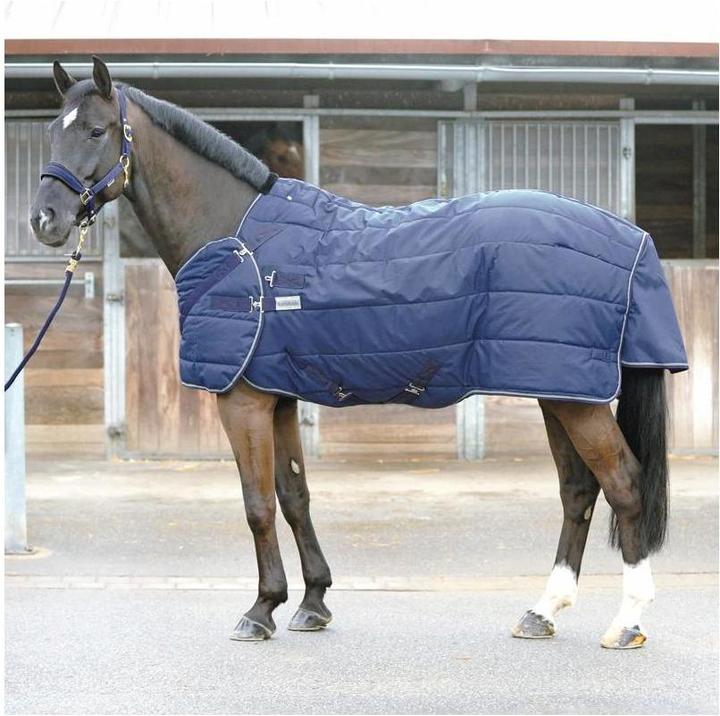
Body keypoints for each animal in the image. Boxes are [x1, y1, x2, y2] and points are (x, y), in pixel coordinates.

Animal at [29, 56, 686, 649]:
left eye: (96, 130)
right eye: (51, 129)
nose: (45, 220)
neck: (238, 239)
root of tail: (631, 238)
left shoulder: (242, 401)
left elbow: (257, 504)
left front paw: (260, 610)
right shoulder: (279, 397)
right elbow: (294, 496)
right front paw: (312, 602)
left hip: (577, 399)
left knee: (624, 484)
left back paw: (627, 622)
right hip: (558, 389)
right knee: (578, 490)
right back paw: (542, 612)